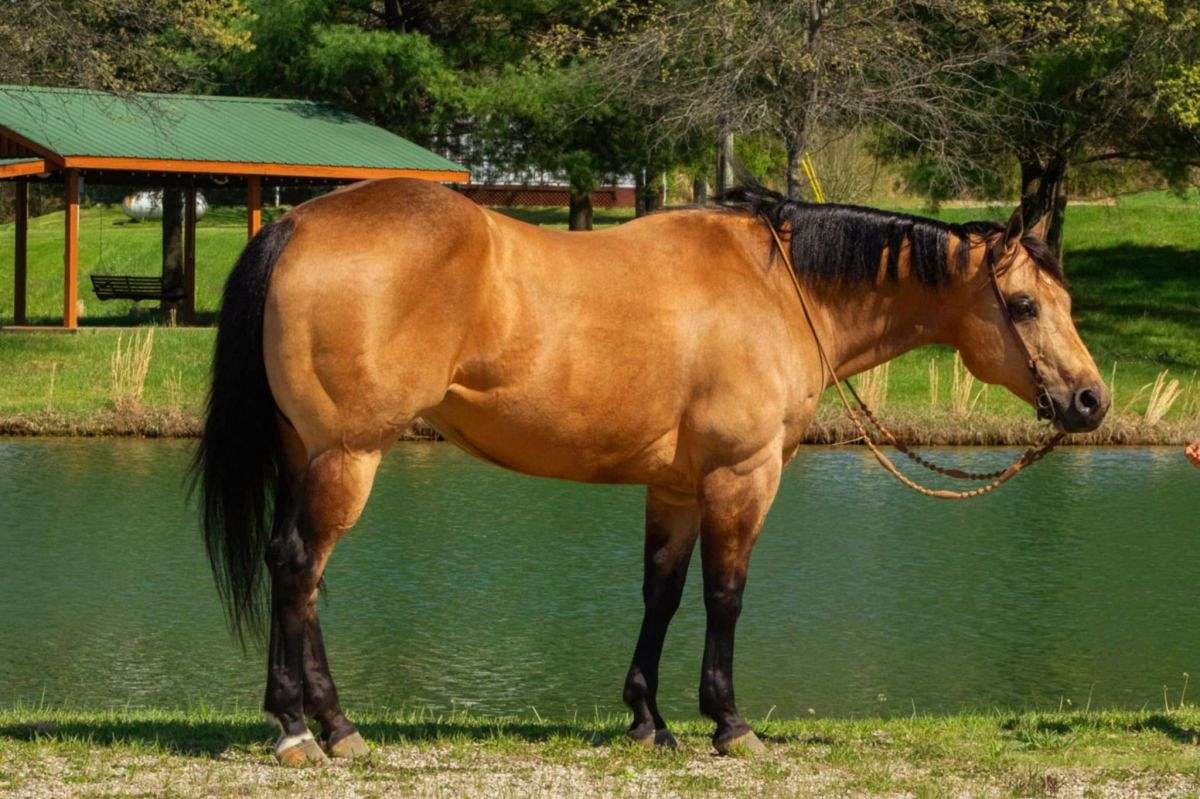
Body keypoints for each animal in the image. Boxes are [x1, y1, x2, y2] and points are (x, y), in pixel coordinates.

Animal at [196, 178, 1109, 764]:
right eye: (1023, 304)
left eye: (1063, 301)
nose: (1091, 400)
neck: (781, 291)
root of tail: (297, 225)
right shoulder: (742, 477)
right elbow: (725, 595)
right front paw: (730, 723)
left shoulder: (674, 486)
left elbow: (661, 596)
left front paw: (648, 719)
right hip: (347, 457)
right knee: (299, 569)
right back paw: (311, 726)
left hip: (310, 454)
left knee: (298, 575)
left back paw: (311, 721)